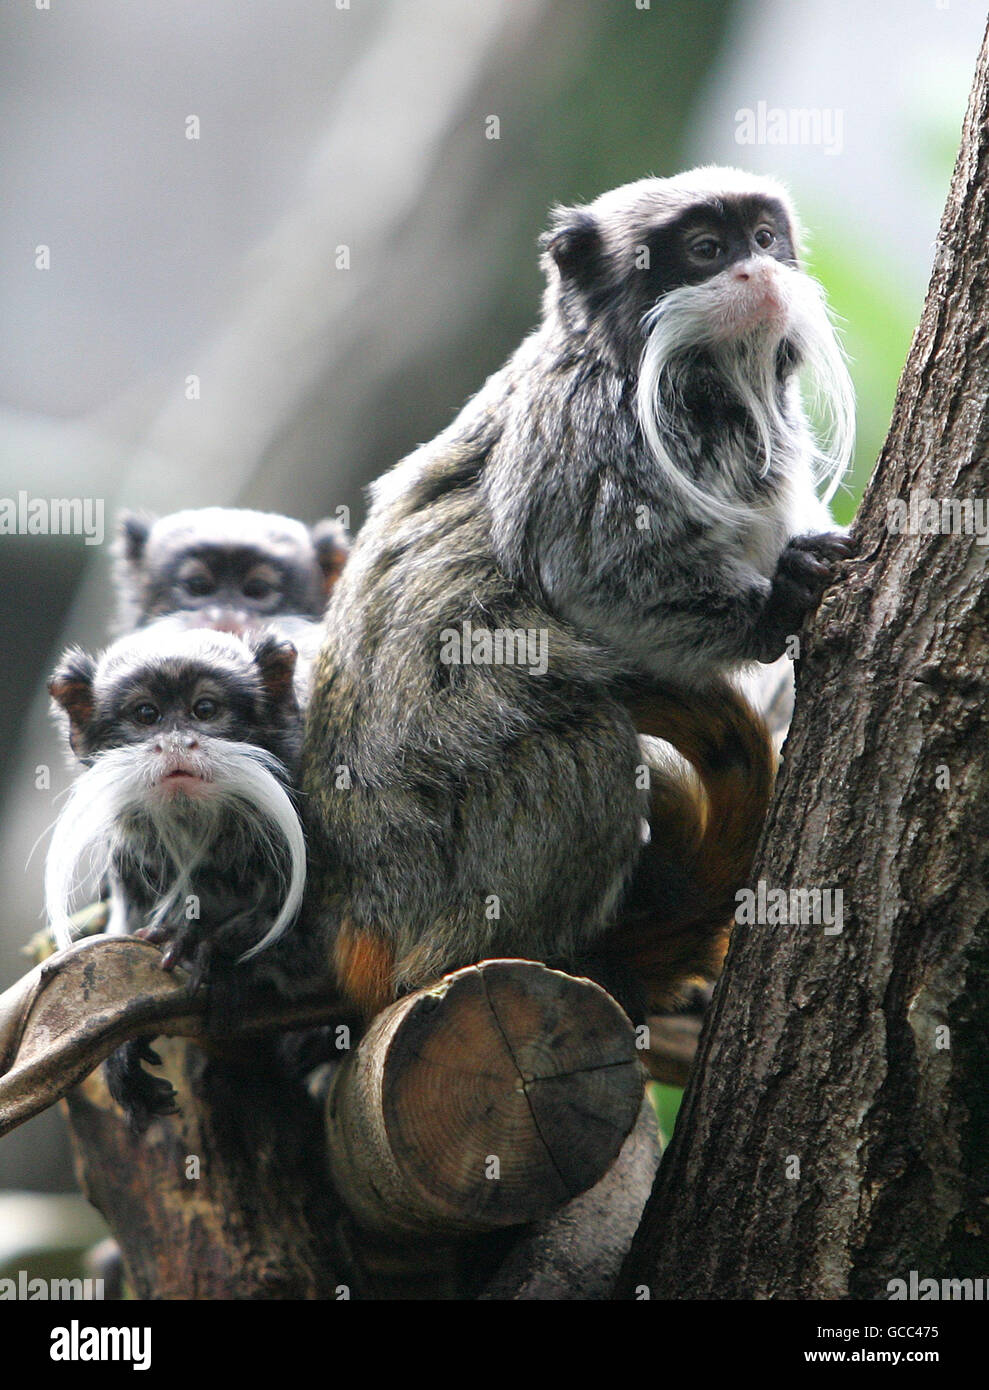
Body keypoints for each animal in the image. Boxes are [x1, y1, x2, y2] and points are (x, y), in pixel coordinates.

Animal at [299, 166, 856, 1023]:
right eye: (705, 249)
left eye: (765, 239)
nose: (756, 272)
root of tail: (354, 922)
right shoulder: (587, 426)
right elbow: (588, 575)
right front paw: (778, 604)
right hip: (437, 881)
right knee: (587, 743)